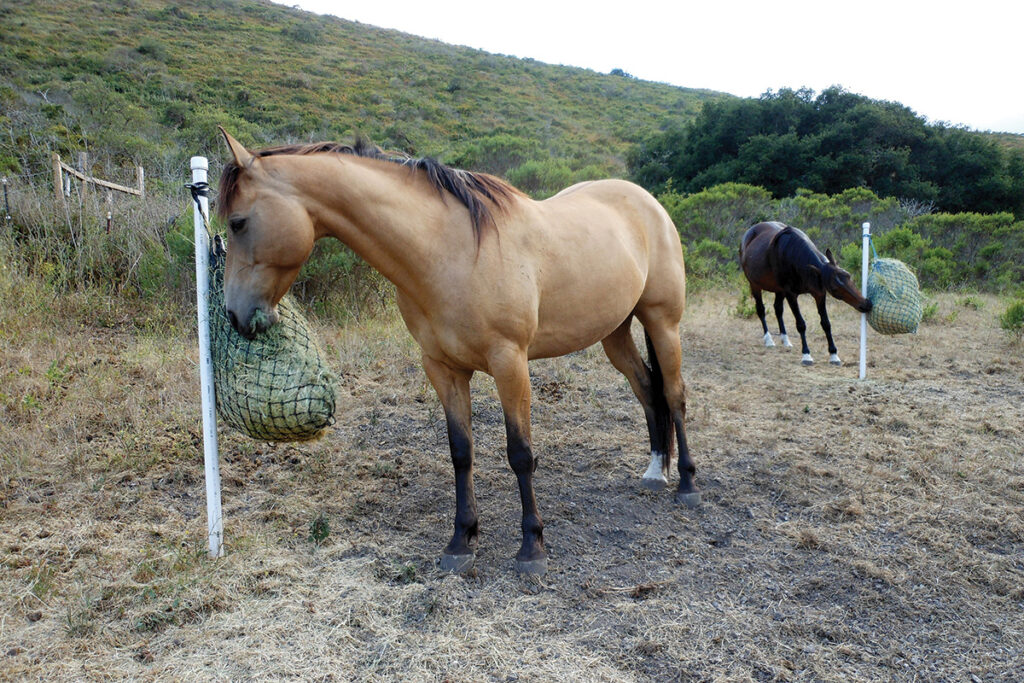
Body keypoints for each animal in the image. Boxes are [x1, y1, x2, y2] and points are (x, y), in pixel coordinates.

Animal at [216, 128, 699, 576]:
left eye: (238, 222)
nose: (235, 315)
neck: (449, 251)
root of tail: (646, 202)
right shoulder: (443, 368)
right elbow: (461, 452)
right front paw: (461, 541)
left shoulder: (510, 363)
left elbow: (520, 453)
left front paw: (532, 547)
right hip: (614, 332)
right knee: (646, 388)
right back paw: (655, 470)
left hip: (662, 322)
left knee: (674, 395)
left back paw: (687, 484)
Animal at [739, 221, 872, 366]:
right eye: (834, 289)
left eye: (848, 275)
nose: (866, 304)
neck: (794, 255)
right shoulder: (791, 294)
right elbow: (801, 324)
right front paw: (806, 355)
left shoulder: (819, 294)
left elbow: (826, 324)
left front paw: (833, 355)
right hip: (755, 285)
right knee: (761, 310)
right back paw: (769, 340)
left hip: (779, 290)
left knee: (778, 310)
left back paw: (785, 340)